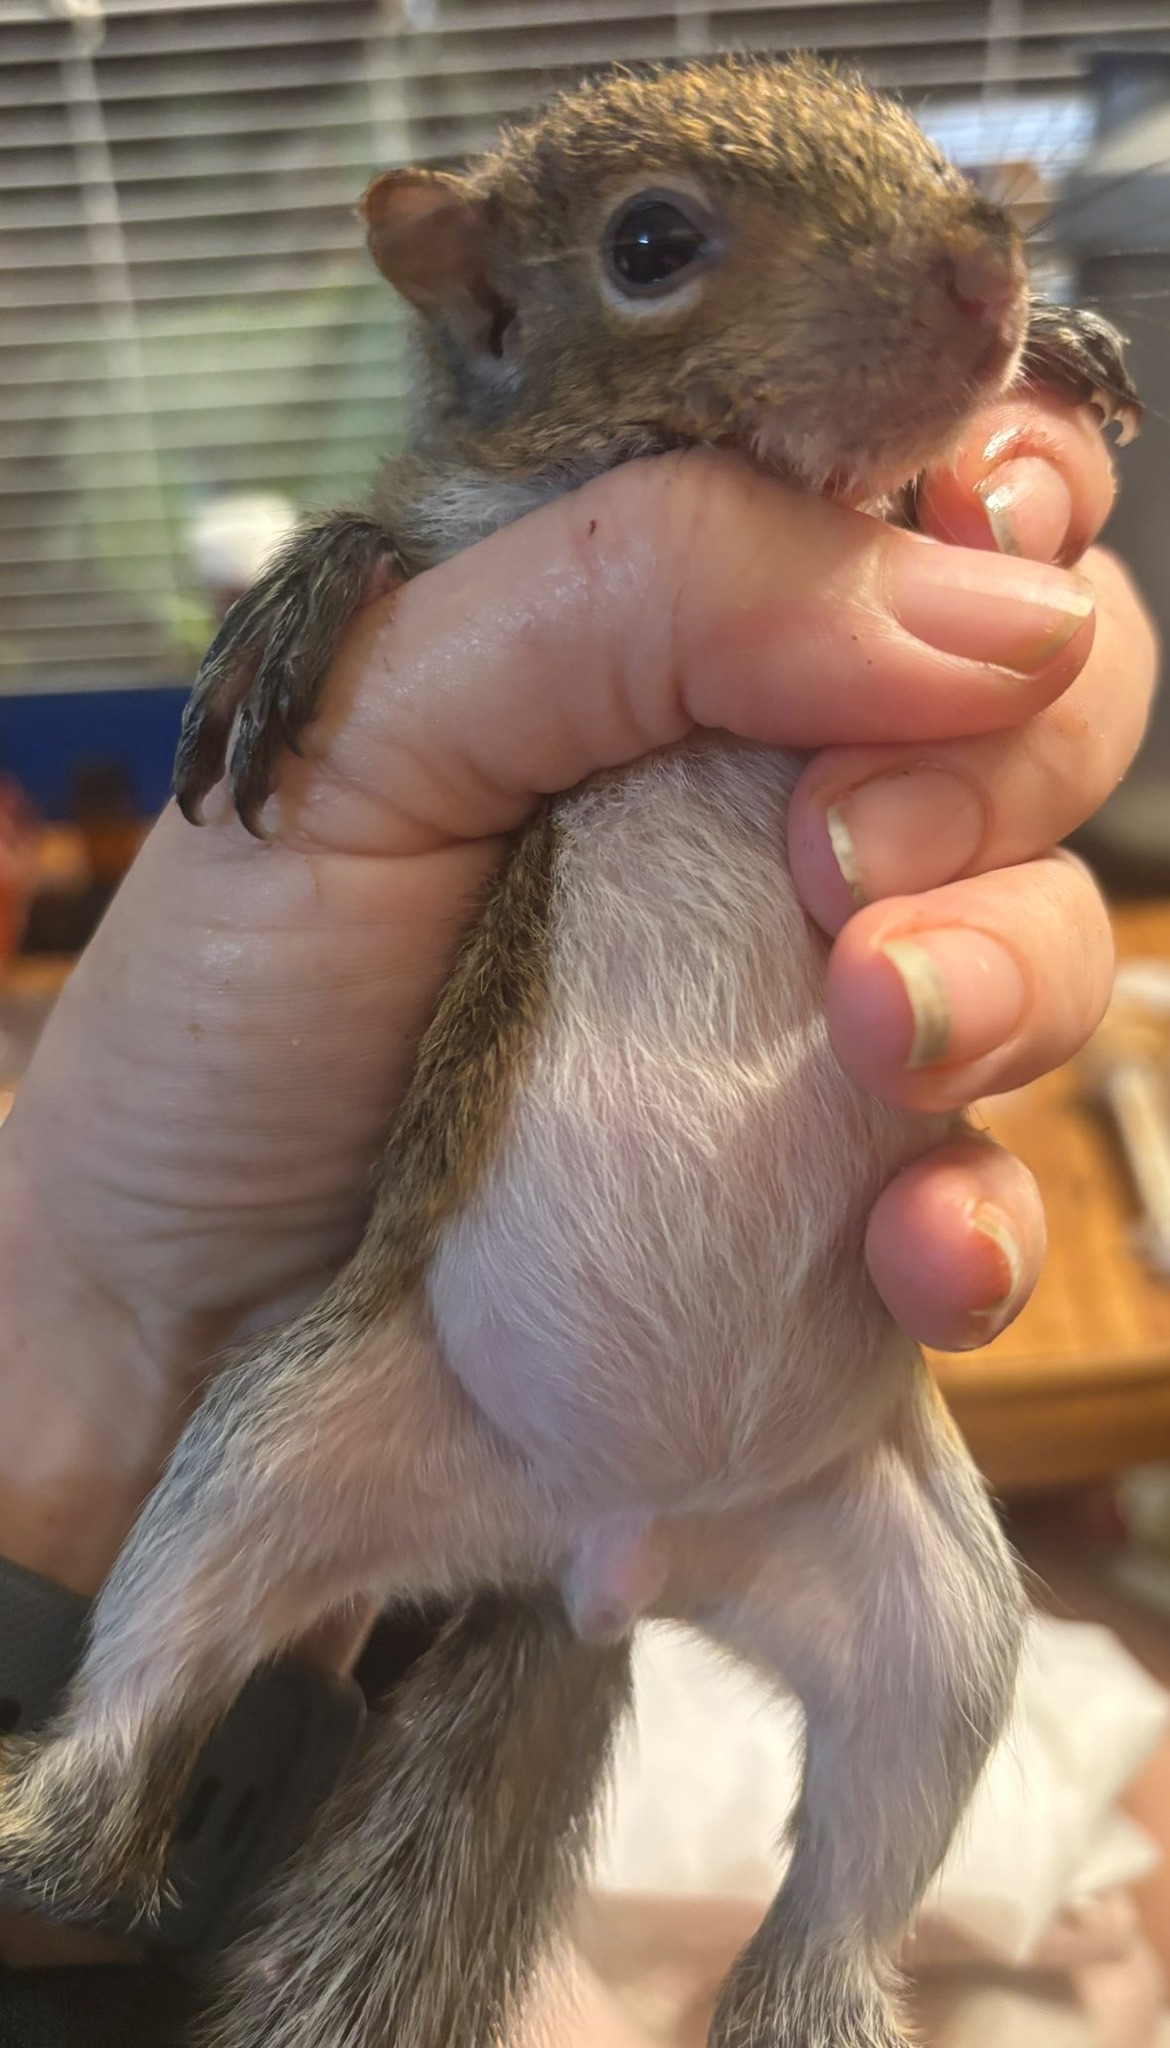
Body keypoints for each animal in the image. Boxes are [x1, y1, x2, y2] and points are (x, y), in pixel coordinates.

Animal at [0, 52, 1140, 2048]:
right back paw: (35, 1821)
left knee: (838, 1897)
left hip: (929, 1615)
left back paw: (822, 2006)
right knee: (112, 1779)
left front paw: (1062, 359)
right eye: (650, 246)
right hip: (274, 1440)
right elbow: (383, 533)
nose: (988, 267)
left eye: (910, 133)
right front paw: (296, 602)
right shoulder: (472, 534)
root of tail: (603, 1549)